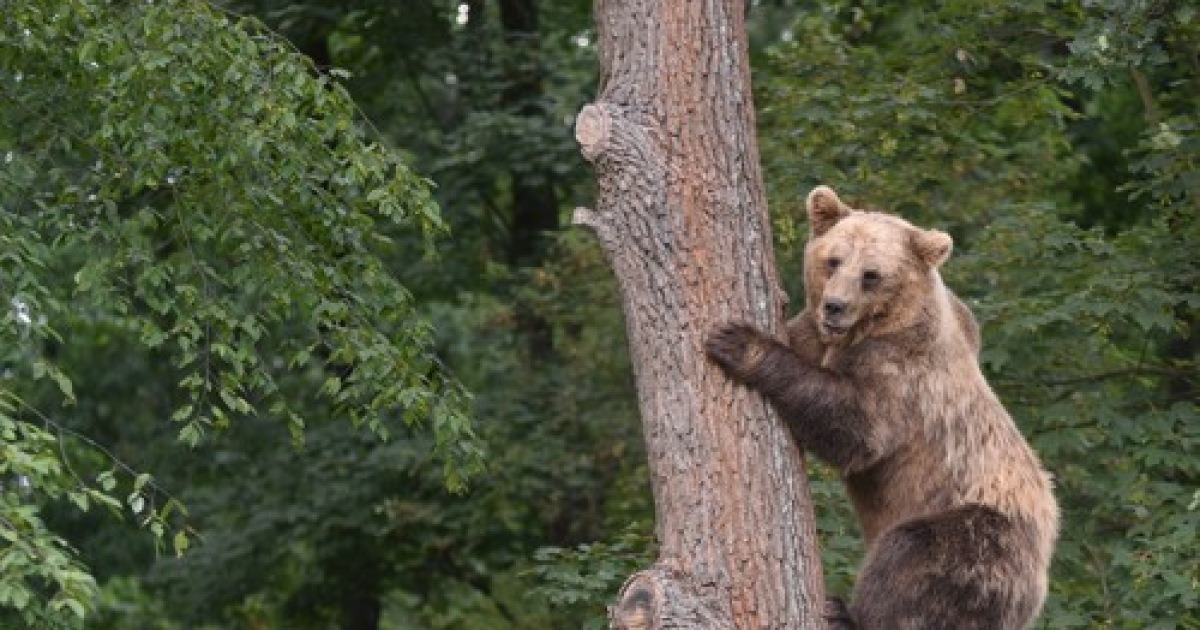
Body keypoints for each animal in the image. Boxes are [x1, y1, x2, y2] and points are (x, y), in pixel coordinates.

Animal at [705, 185, 1058, 629]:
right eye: (833, 260)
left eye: (870, 275)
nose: (835, 306)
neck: (870, 328)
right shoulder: (826, 337)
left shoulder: (900, 375)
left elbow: (857, 430)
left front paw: (738, 341)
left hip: (984, 531)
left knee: (915, 555)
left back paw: (845, 613)